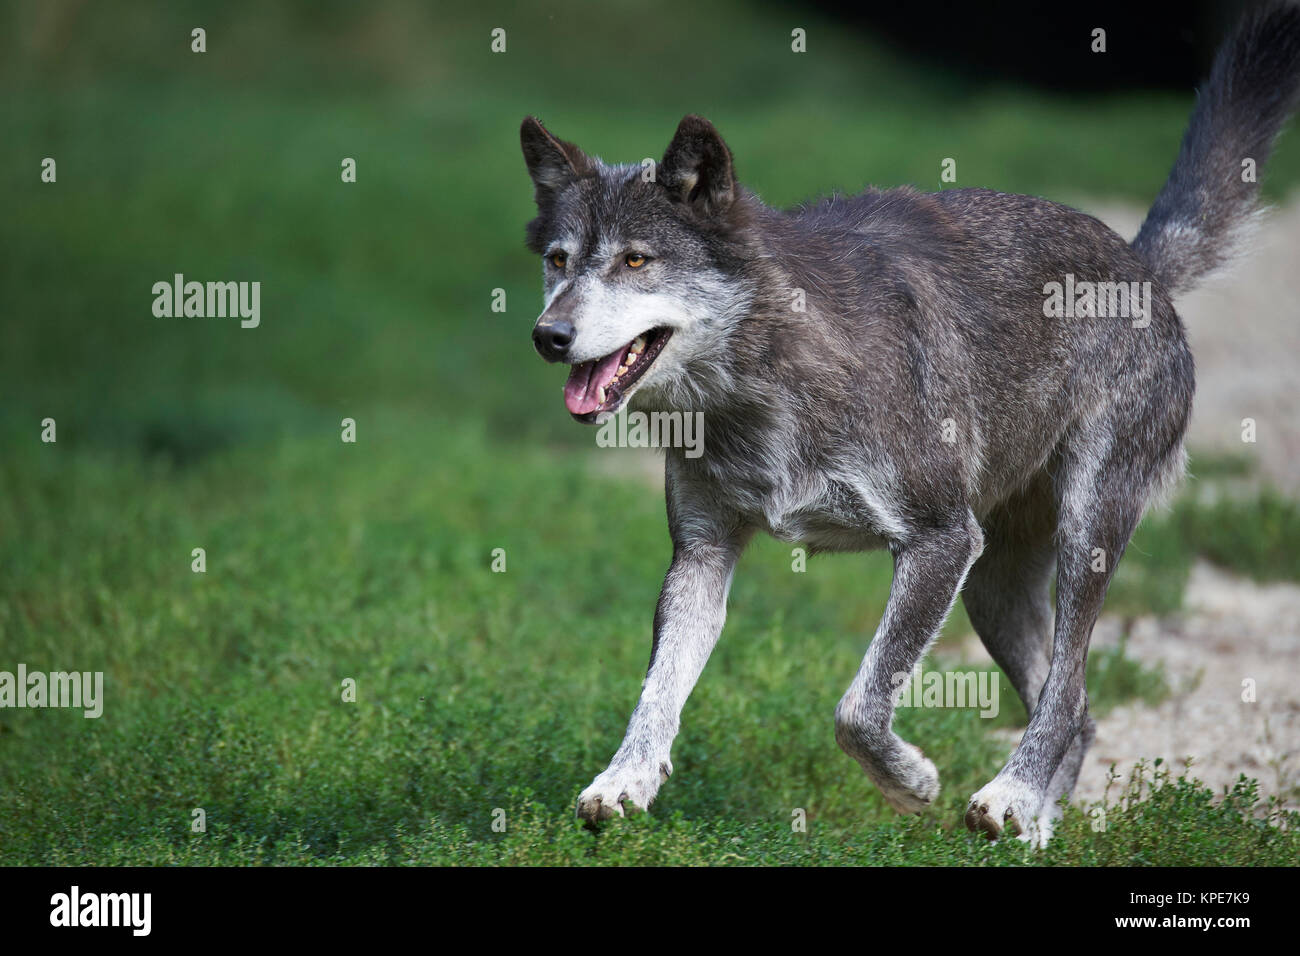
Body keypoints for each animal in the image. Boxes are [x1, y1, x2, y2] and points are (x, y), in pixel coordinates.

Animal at [520, 6, 1300, 844]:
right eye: (559, 260)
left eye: (636, 261)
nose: (548, 336)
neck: (765, 389)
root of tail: (1142, 265)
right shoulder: (701, 556)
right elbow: (656, 693)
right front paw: (623, 780)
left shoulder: (937, 540)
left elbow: (859, 706)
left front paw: (911, 782)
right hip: (992, 588)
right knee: (1082, 706)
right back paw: (1035, 828)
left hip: (1082, 534)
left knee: (1066, 691)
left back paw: (1010, 797)